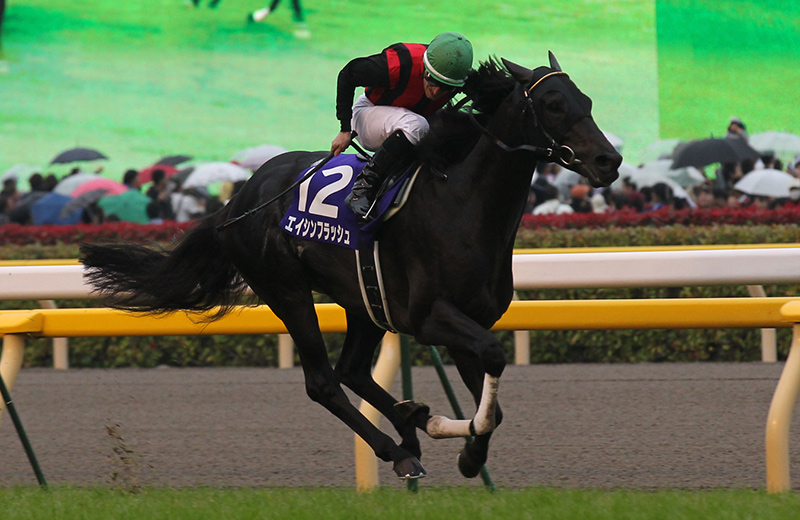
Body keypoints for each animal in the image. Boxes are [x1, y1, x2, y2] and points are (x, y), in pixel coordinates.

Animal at [80, 53, 622, 481]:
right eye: (553, 104)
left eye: (588, 100)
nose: (609, 160)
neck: (462, 202)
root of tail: (237, 202)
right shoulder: (430, 317)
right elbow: (491, 361)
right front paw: (458, 442)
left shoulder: (467, 319)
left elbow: (494, 397)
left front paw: (464, 449)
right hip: (288, 291)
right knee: (324, 381)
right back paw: (399, 450)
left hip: (364, 299)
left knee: (354, 371)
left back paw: (412, 420)